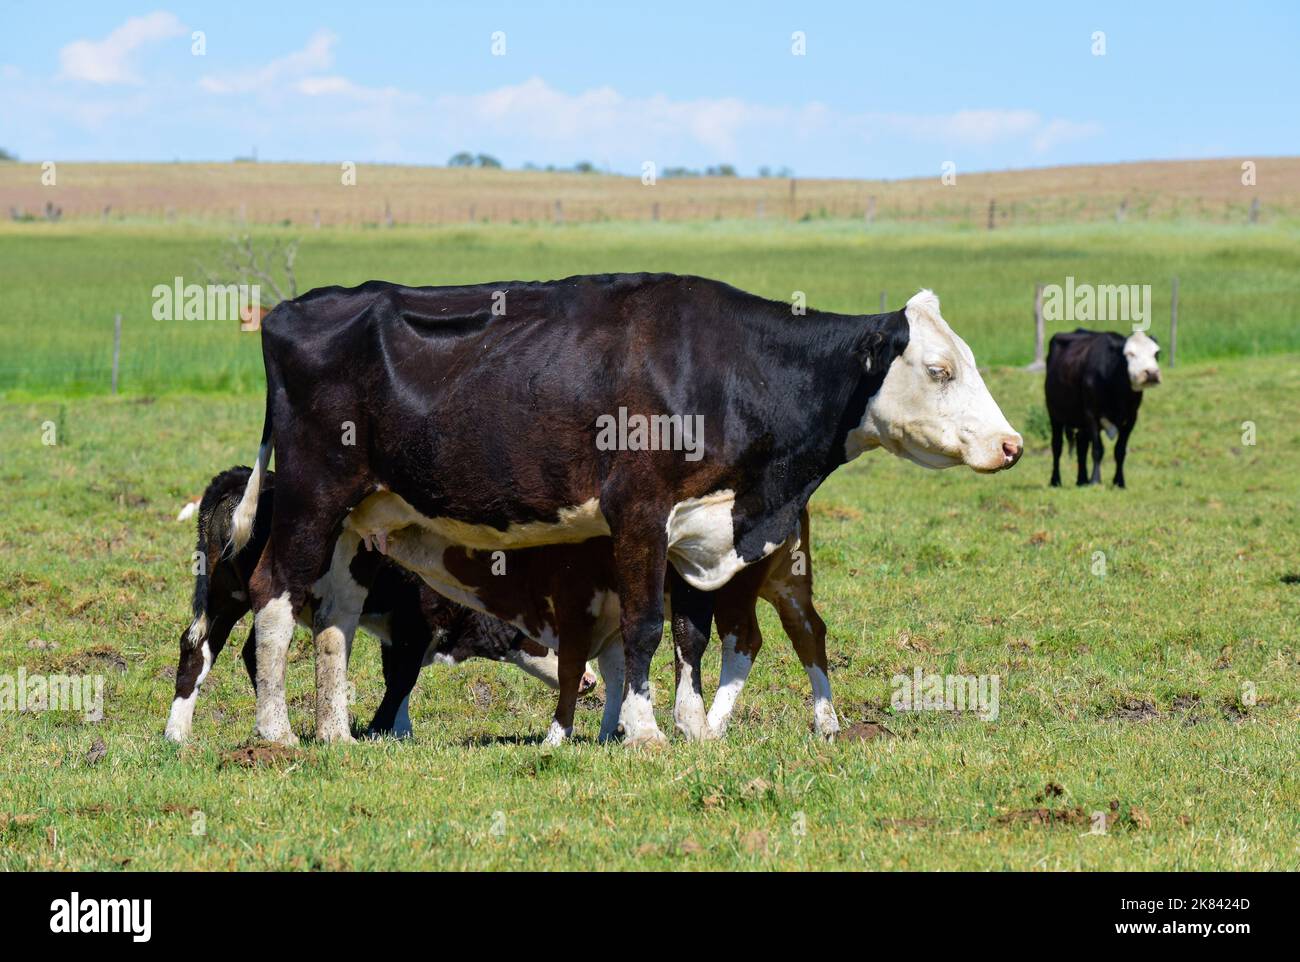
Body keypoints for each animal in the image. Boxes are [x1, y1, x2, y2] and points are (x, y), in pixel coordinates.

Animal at [164, 466, 591, 744]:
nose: (588, 681)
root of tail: (242, 477)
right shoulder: (415, 626)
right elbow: (402, 680)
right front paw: (378, 731)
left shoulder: (398, 633)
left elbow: (398, 680)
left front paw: (399, 732)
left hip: (223, 593)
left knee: (203, 646)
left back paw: (178, 733)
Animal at [228, 275, 1022, 746]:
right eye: (939, 370)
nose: (1013, 444)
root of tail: (302, 304)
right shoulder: (640, 511)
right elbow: (644, 628)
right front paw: (644, 731)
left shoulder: (698, 534)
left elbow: (693, 634)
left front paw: (693, 727)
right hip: (312, 493)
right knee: (274, 596)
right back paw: (277, 734)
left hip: (355, 513)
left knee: (333, 618)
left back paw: (334, 733)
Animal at [1045, 329, 1161, 488]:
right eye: (1130, 353)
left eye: (1156, 353)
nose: (1151, 373)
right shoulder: (1091, 414)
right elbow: (1097, 449)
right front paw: (1095, 480)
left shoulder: (1131, 418)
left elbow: (1120, 450)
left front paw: (1119, 482)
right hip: (1054, 414)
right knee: (1057, 446)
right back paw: (1055, 480)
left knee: (1081, 445)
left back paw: (1082, 480)